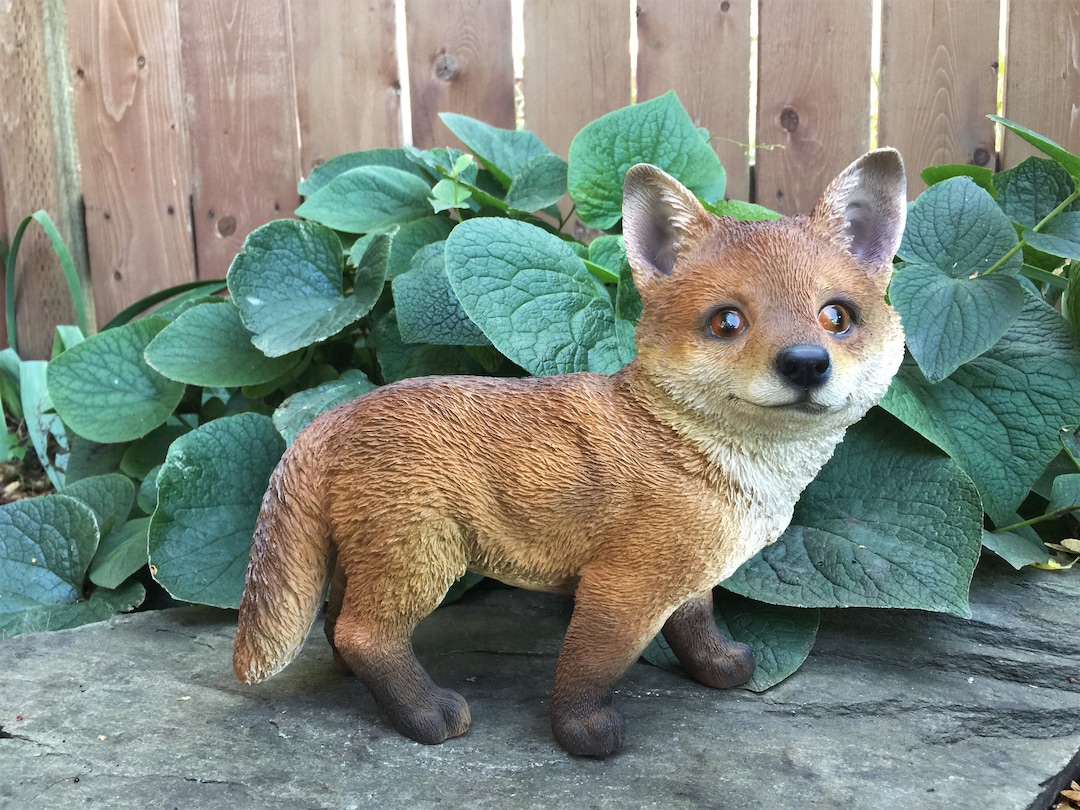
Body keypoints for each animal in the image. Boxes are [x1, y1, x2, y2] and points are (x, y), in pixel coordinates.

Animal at [232, 148, 907, 758]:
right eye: (728, 322)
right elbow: (587, 668)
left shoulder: (691, 574)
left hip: (372, 557)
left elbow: (697, 626)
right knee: (364, 633)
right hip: (421, 558)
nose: (806, 364)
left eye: (836, 317)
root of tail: (330, 416)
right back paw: (425, 714)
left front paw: (719, 668)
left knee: (338, 624)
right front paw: (582, 733)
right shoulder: (621, 586)